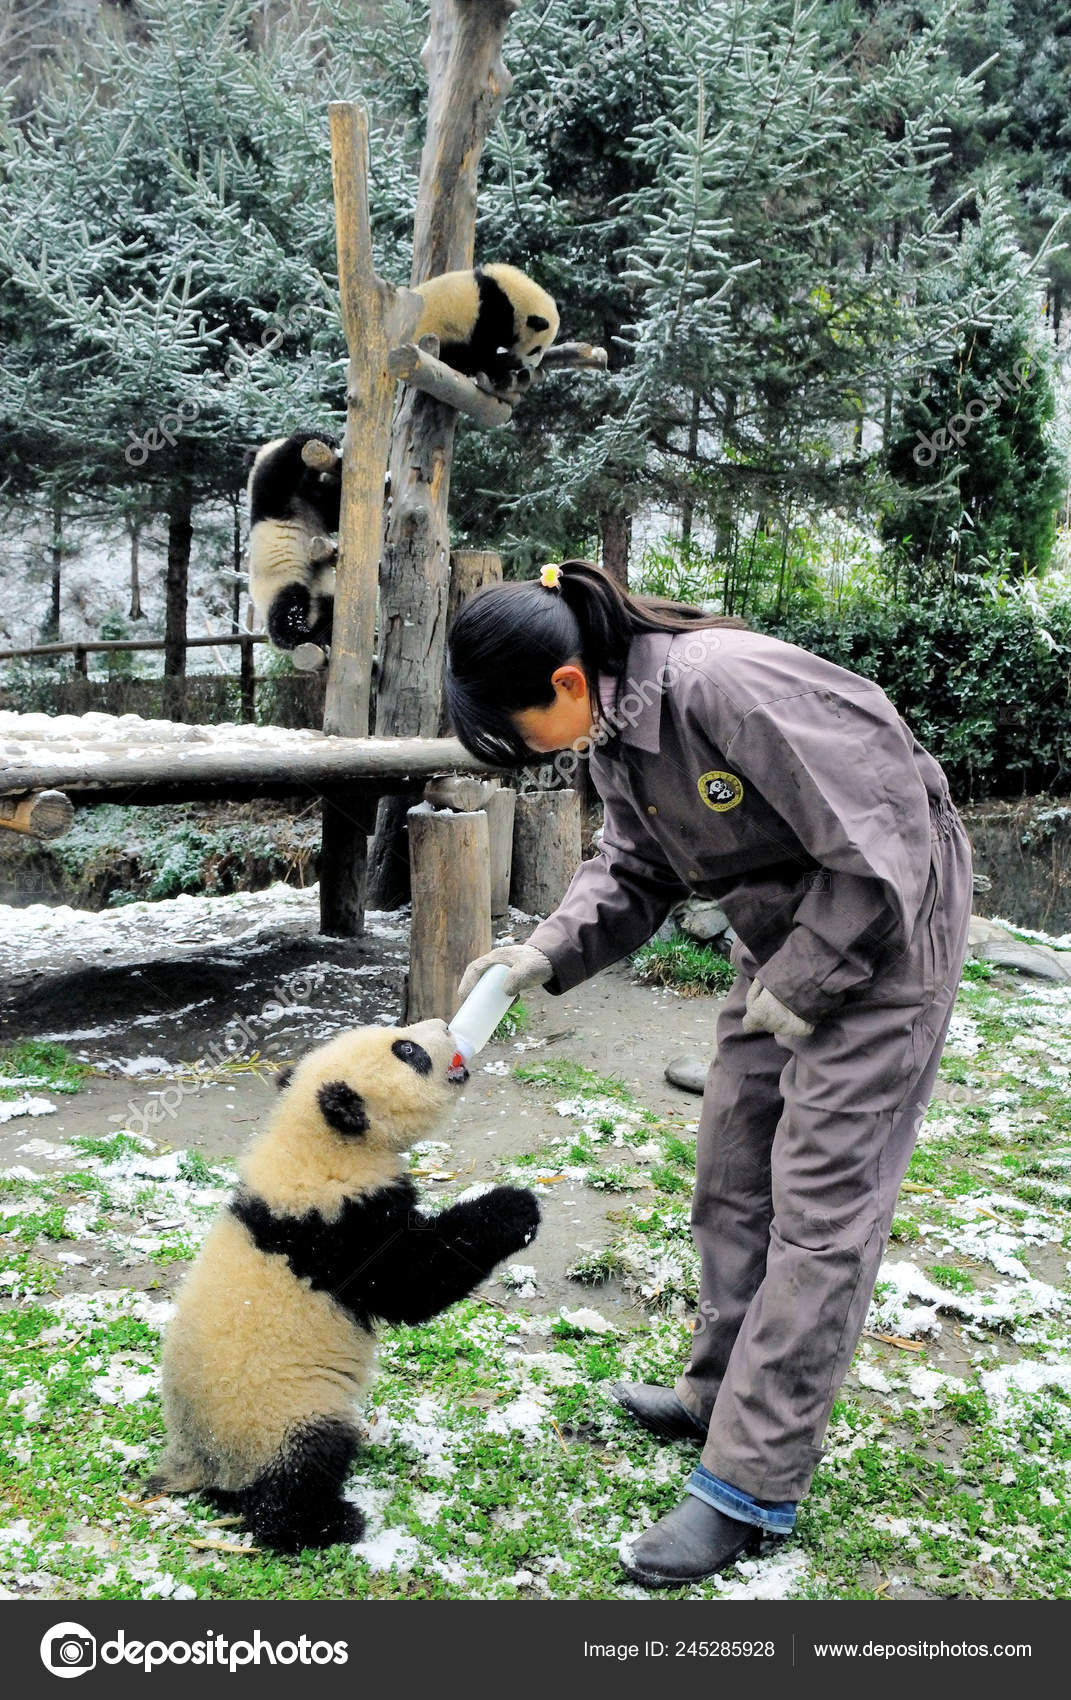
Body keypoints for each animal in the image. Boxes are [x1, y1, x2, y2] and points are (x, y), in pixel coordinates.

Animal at [147, 1018, 540, 1554]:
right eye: (408, 1050)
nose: (445, 1026)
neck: (316, 1143)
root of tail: (196, 1464)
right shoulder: (341, 1229)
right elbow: (412, 1282)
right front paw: (516, 1207)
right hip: (280, 1411)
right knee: (298, 1470)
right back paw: (328, 1523)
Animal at [246, 430, 342, 650]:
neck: (303, 490)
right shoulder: (268, 498)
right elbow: (276, 473)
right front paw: (317, 436)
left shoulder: (317, 504)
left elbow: (334, 511)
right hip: (279, 580)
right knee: (288, 610)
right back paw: (305, 635)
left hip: (323, 589)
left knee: (327, 604)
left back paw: (324, 632)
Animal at [413, 263, 560, 392]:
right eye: (535, 349)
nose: (532, 365)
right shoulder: (491, 312)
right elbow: (483, 348)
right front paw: (497, 373)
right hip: (438, 332)